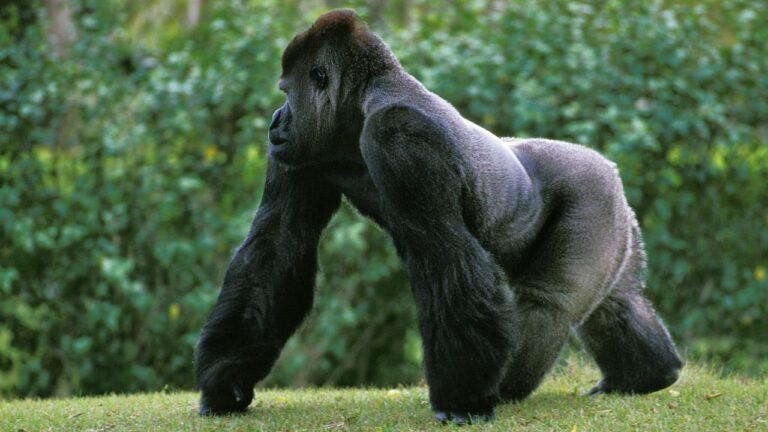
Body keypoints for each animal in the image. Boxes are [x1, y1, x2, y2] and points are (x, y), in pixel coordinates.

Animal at [195, 9, 683, 424]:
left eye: (286, 92)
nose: (275, 121)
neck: (362, 101)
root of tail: (608, 166)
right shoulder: (302, 153)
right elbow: (277, 243)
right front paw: (226, 378)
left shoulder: (401, 137)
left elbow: (446, 254)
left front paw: (462, 400)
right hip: (618, 220)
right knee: (615, 302)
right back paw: (647, 375)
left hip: (592, 195)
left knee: (546, 302)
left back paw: (502, 389)